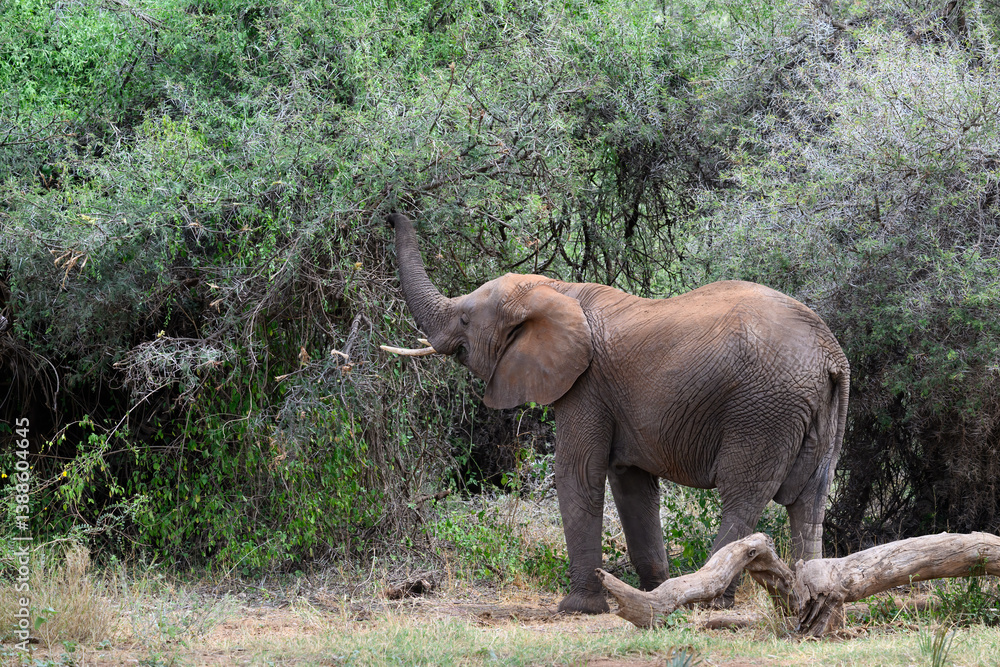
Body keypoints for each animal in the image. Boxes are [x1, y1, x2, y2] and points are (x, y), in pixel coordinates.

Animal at [387, 212, 850, 614]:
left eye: (466, 319)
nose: (392, 214)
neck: (554, 288)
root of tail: (831, 352)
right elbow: (631, 486)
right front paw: (653, 594)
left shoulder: (586, 385)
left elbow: (576, 473)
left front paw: (578, 608)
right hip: (816, 412)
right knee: (811, 502)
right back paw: (813, 595)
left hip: (764, 409)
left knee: (742, 497)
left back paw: (712, 602)